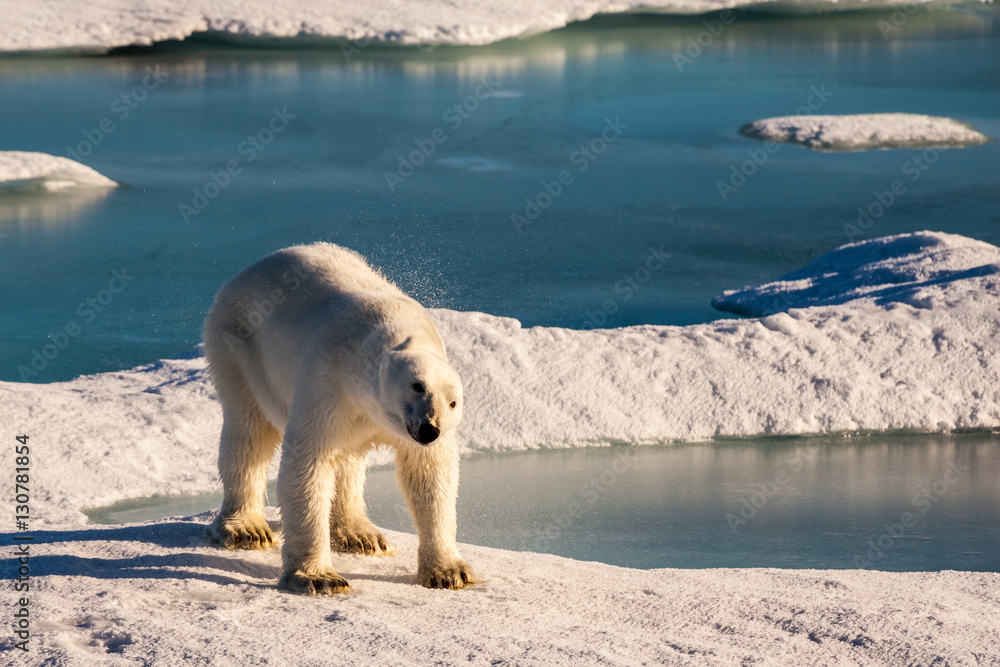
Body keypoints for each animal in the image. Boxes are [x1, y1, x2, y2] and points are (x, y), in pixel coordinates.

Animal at [203, 242, 476, 594]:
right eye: (417, 385)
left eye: (452, 403)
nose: (430, 430)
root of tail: (248, 270)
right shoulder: (327, 383)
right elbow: (309, 462)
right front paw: (318, 578)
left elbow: (429, 474)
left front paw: (449, 571)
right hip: (239, 346)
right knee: (249, 431)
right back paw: (246, 528)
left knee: (347, 458)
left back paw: (360, 534)